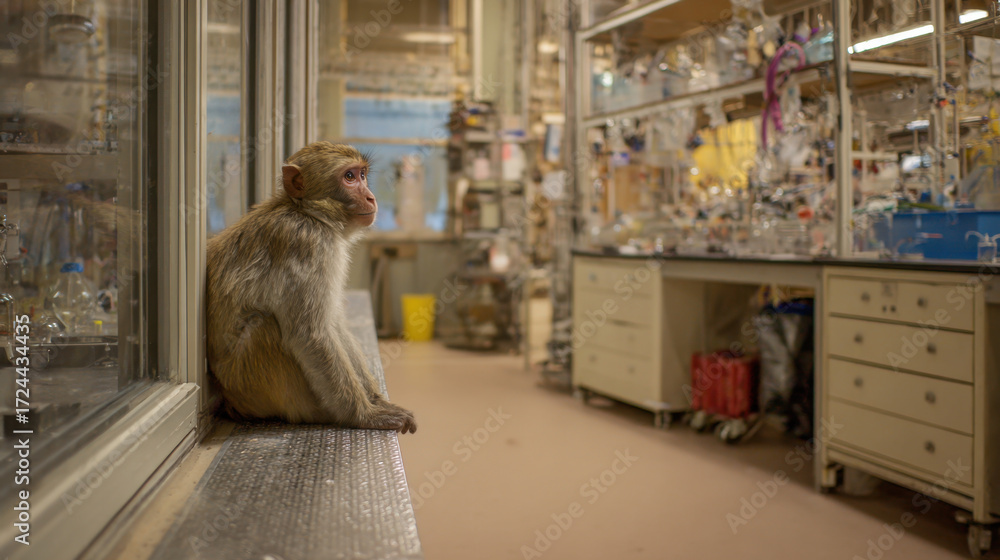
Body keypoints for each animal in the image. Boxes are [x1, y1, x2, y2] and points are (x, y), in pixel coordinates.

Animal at [206, 142, 416, 434]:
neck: (307, 212)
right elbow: (311, 334)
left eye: (362, 175)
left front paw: (375, 400)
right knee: (264, 324)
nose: (371, 198)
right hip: (256, 387)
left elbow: (333, 324)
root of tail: (231, 402)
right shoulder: (307, 243)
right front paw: (364, 414)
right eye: (349, 177)